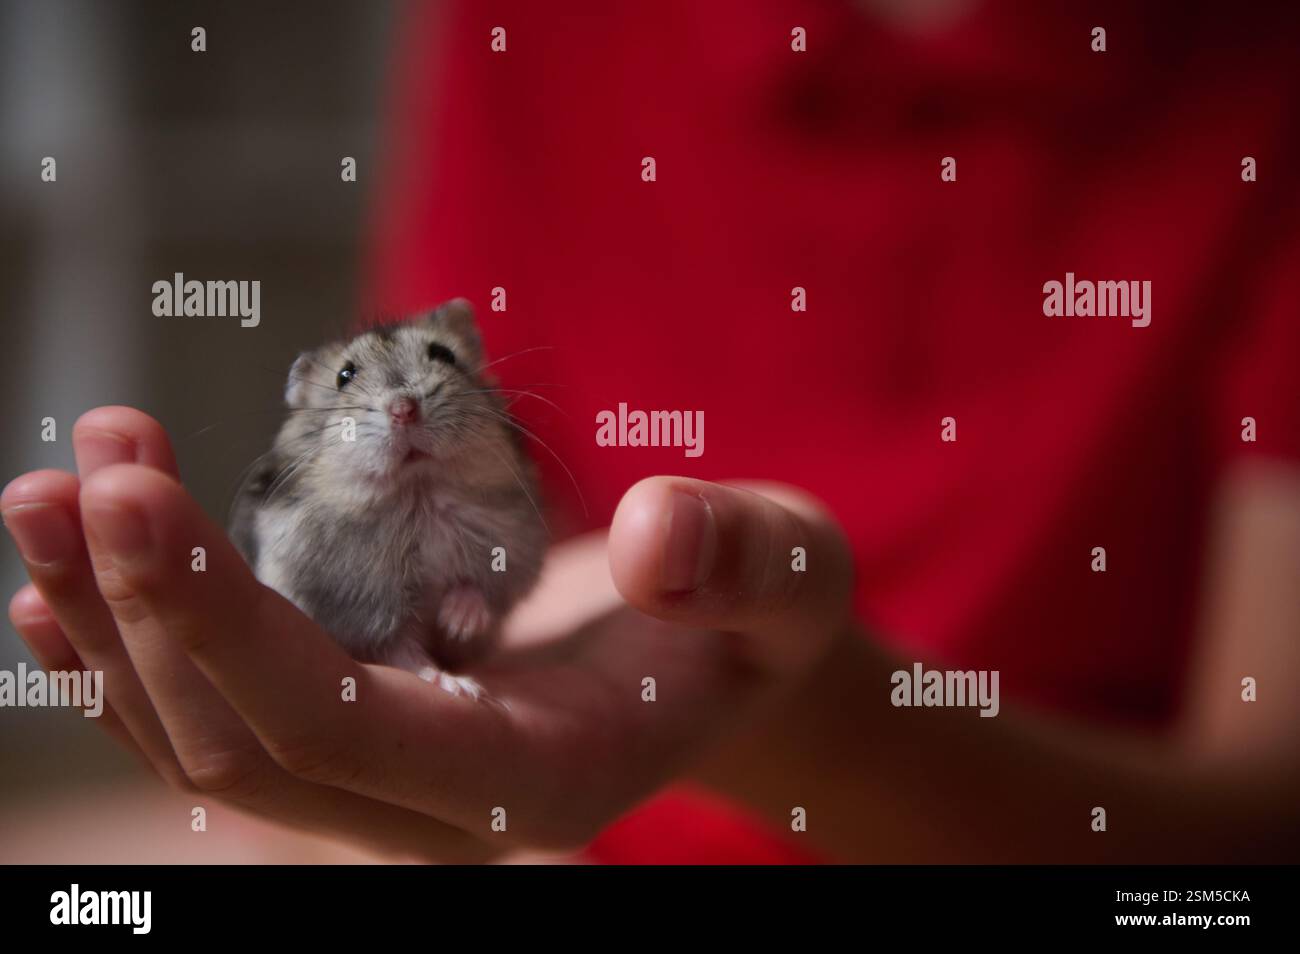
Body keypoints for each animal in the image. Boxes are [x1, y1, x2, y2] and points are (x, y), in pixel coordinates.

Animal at [229, 299, 547, 698]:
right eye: (344, 375)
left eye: (444, 354)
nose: (404, 409)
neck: (418, 492)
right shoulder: (364, 613)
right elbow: (402, 651)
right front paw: (458, 686)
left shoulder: (510, 551)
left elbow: (476, 588)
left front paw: (456, 623)